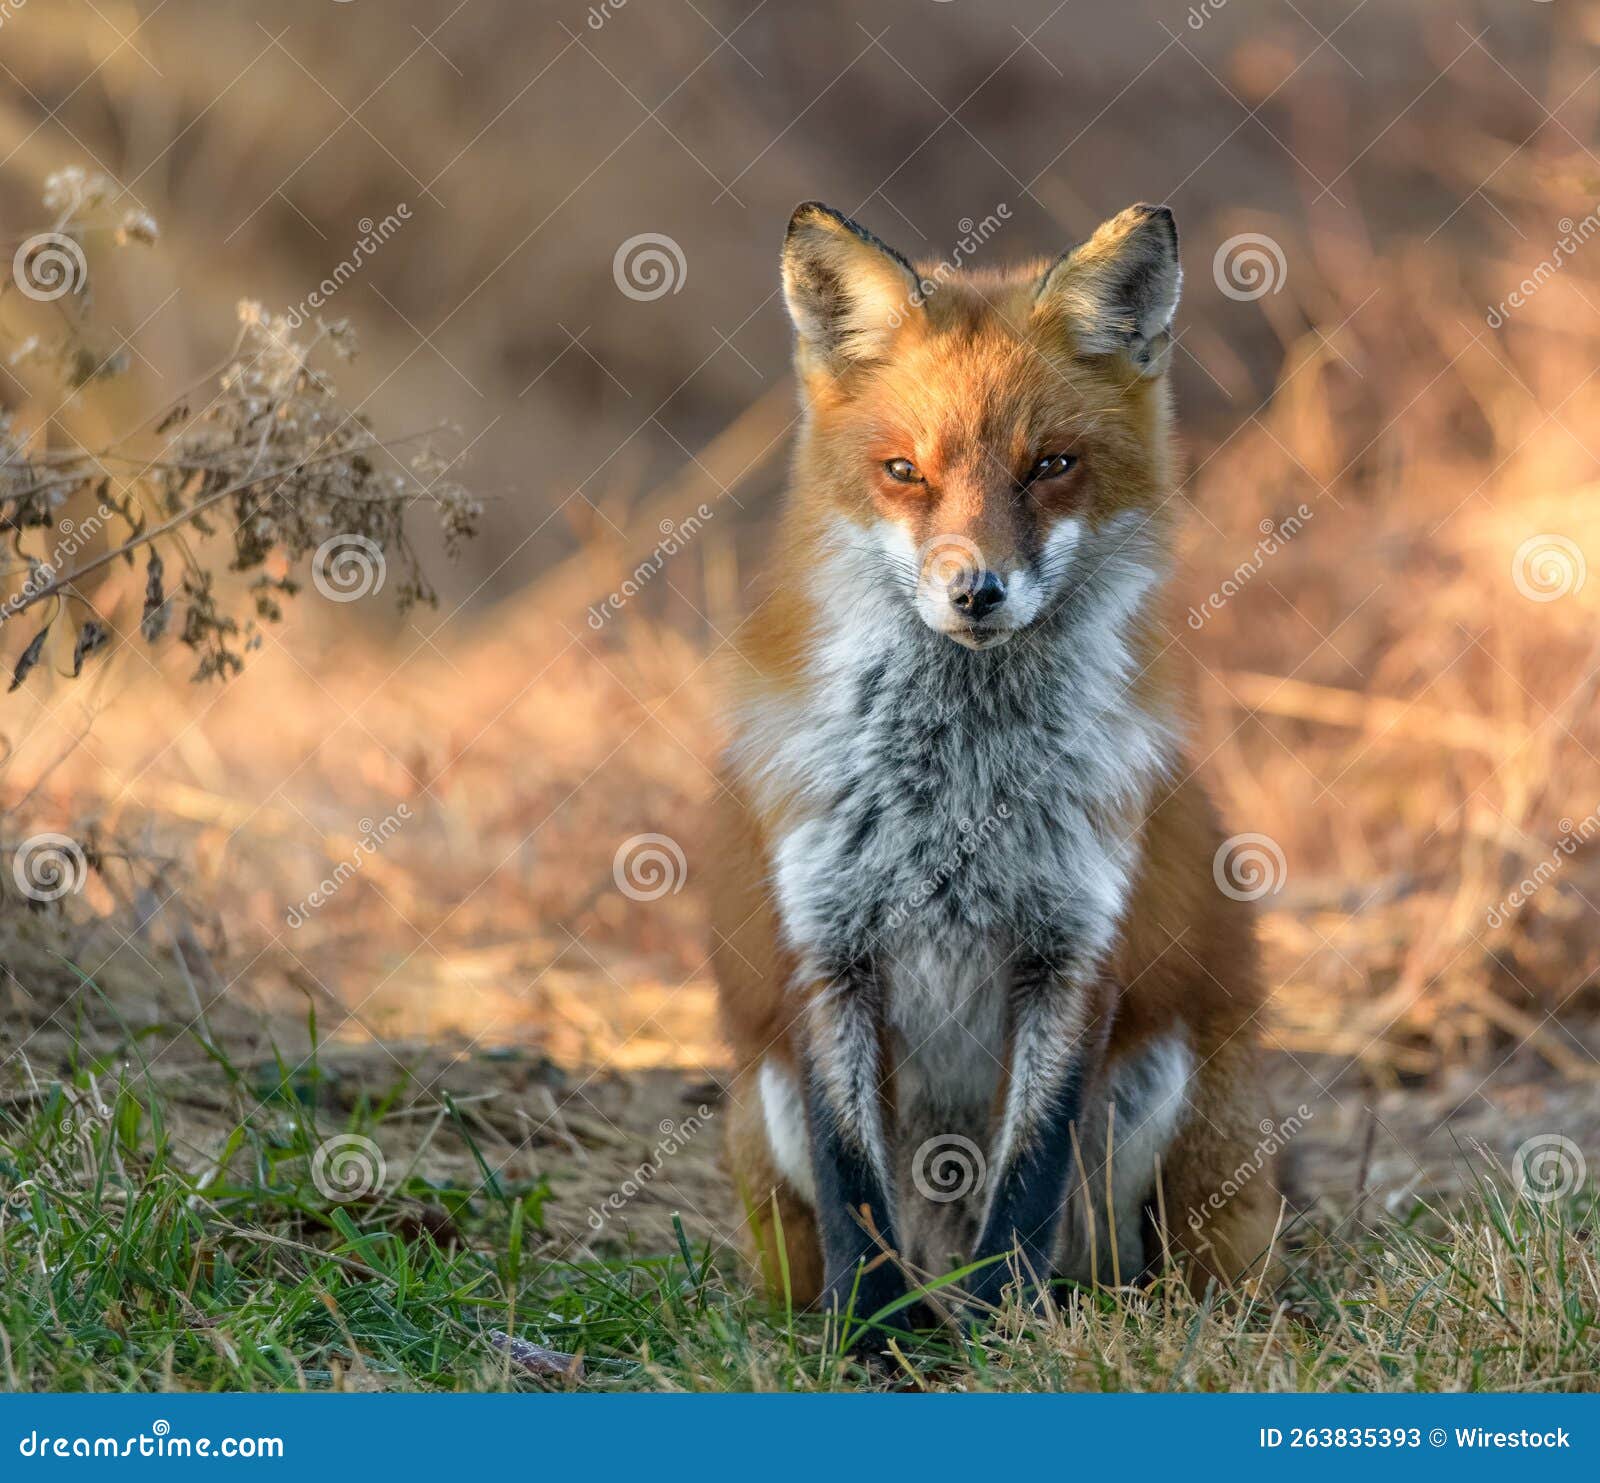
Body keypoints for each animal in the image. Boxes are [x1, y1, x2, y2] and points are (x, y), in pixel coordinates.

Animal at [706, 200, 1280, 1327]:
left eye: (1050, 465)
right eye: (904, 471)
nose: (976, 591)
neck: (957, 790)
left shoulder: (1073, 950)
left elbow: (1026, 1179)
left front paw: (1005, 1332)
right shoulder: (827, 951)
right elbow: (856, 1192)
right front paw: (867, 1341)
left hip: (1163, 1091)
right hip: (769, 1098)